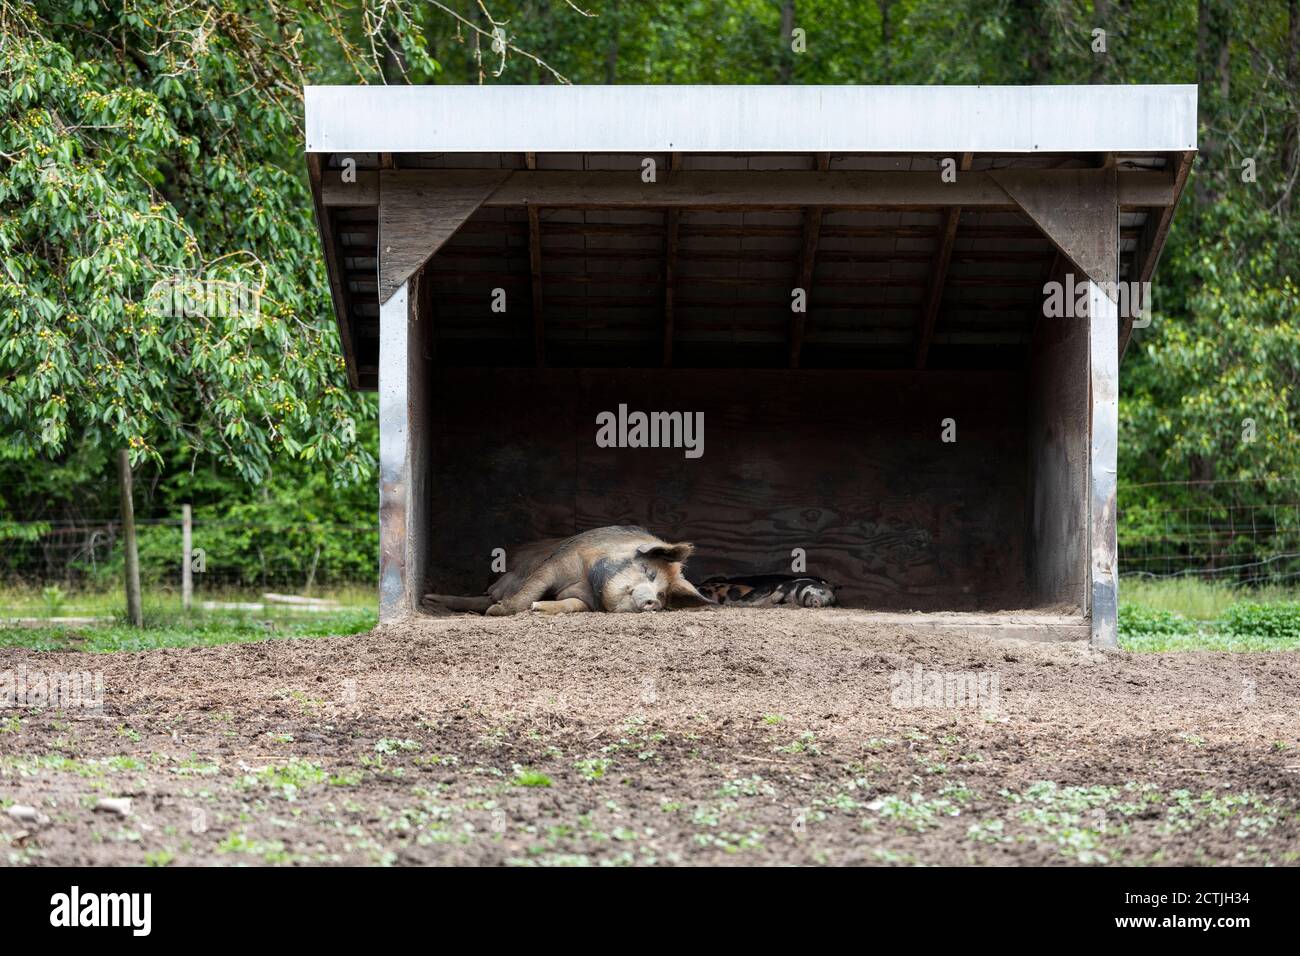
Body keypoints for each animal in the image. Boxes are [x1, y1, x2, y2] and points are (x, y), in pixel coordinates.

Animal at [422, 526, 714, 616]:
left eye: (663, 593)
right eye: (648, 571)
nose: (653, 600)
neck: (587, 581)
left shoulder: (583, 599)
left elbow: (572, 604)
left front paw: (539, 608)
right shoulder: (558, 563)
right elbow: (533, 587)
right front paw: (499, 611)